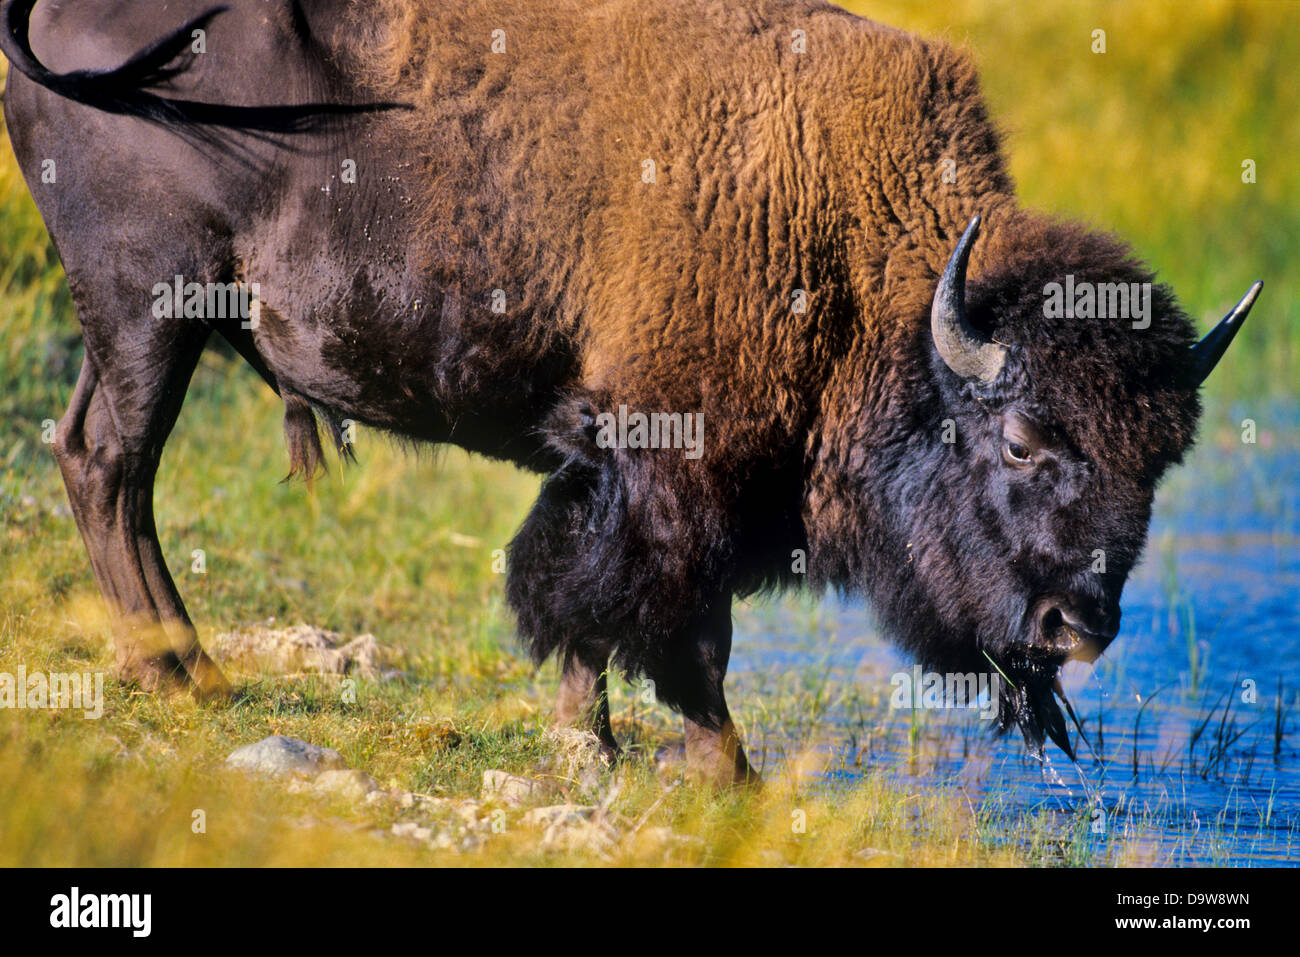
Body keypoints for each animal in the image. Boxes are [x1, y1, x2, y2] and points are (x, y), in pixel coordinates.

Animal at [2, 0, 1258, 785]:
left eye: (1161, 462)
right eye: (1021, 440)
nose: (1076, 628)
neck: (845, 249)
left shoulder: (618, 474)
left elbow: (591, 611)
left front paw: (591, 743)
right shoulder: (669, 472)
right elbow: (670, 627)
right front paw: (721, 771)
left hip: (138, 324)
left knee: (87, 456)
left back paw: (182, 671)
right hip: (149, 308)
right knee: (112, 465)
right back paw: (185, 677)